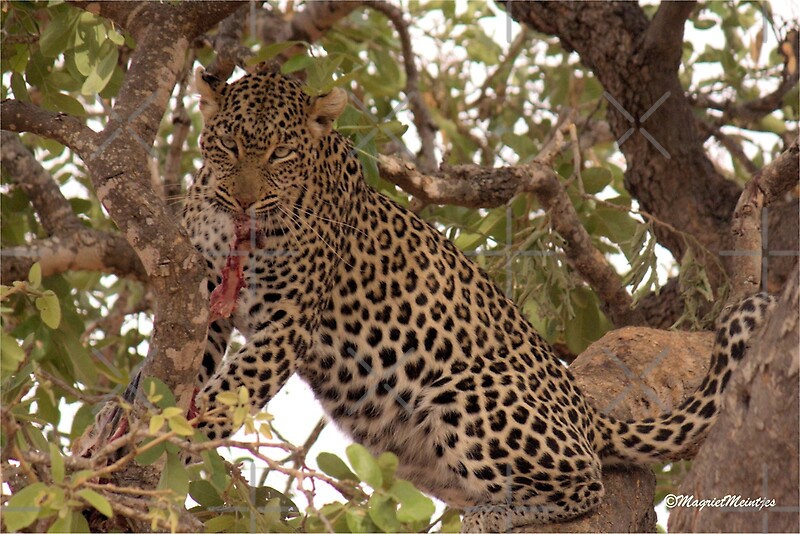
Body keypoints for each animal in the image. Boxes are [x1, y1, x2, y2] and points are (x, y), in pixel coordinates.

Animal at [182, 67, 775, 532]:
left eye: (280, 152)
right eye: (229, 146)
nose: (243, 201)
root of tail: (587, 414)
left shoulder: (286, 324)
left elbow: (223, 396)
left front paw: (172, 448)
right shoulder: (208, 297)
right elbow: (192, 368)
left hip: (466, 391)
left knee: (588, 483)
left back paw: (495, 513)